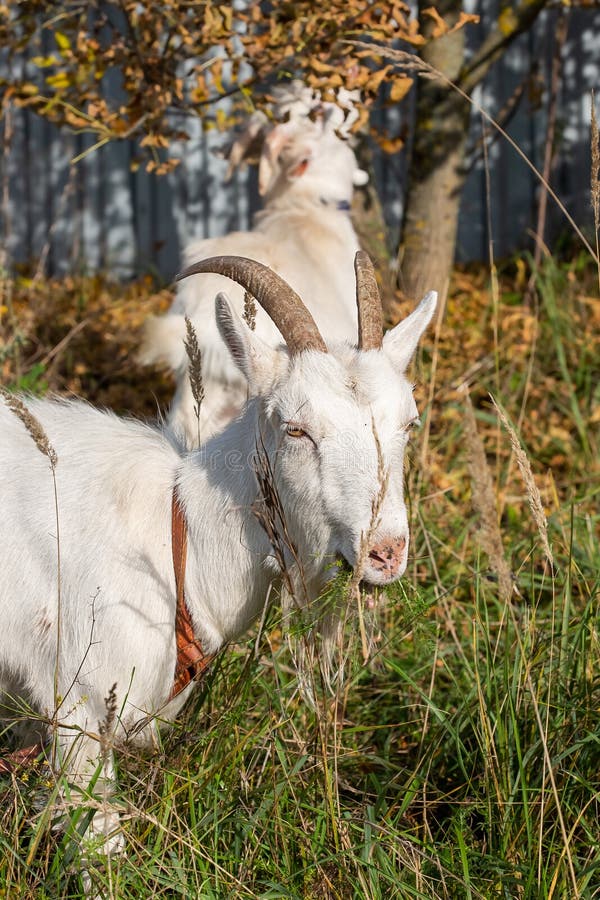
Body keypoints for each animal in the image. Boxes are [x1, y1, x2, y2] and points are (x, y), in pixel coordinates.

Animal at [0, 253, 436, 856]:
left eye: (409, 423)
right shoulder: (80, 714)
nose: (385, 552)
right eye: (295, 429)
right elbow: (99, 843)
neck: (174, 534)